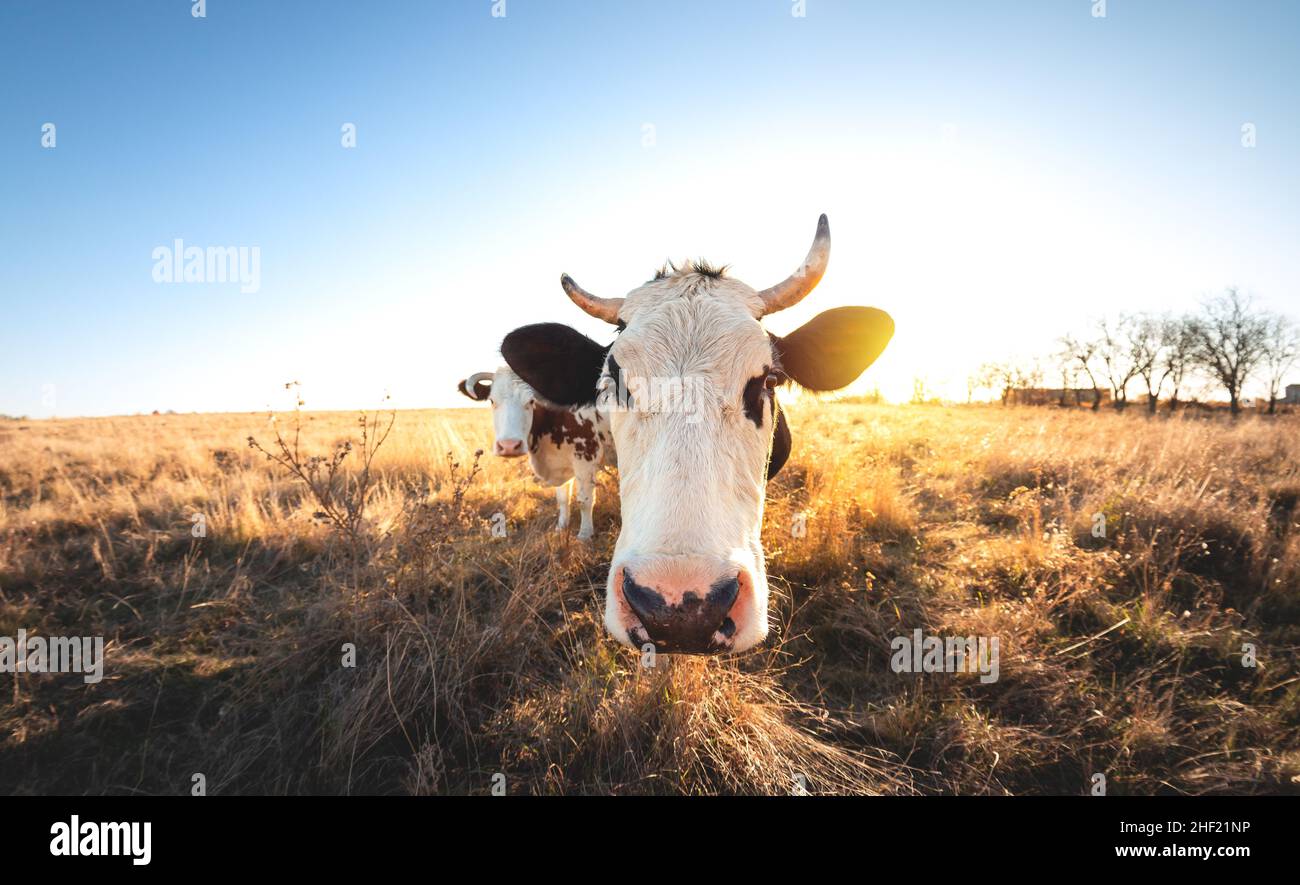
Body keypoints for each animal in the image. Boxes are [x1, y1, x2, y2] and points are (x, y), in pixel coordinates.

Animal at [457, 365, 615, 540]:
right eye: (492, 401)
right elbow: (562, 498)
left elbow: (584, 501)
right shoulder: (561, 462)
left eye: (531, 401)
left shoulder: (586, 456)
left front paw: (584, 535)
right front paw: (561, 527)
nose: (509, 446)